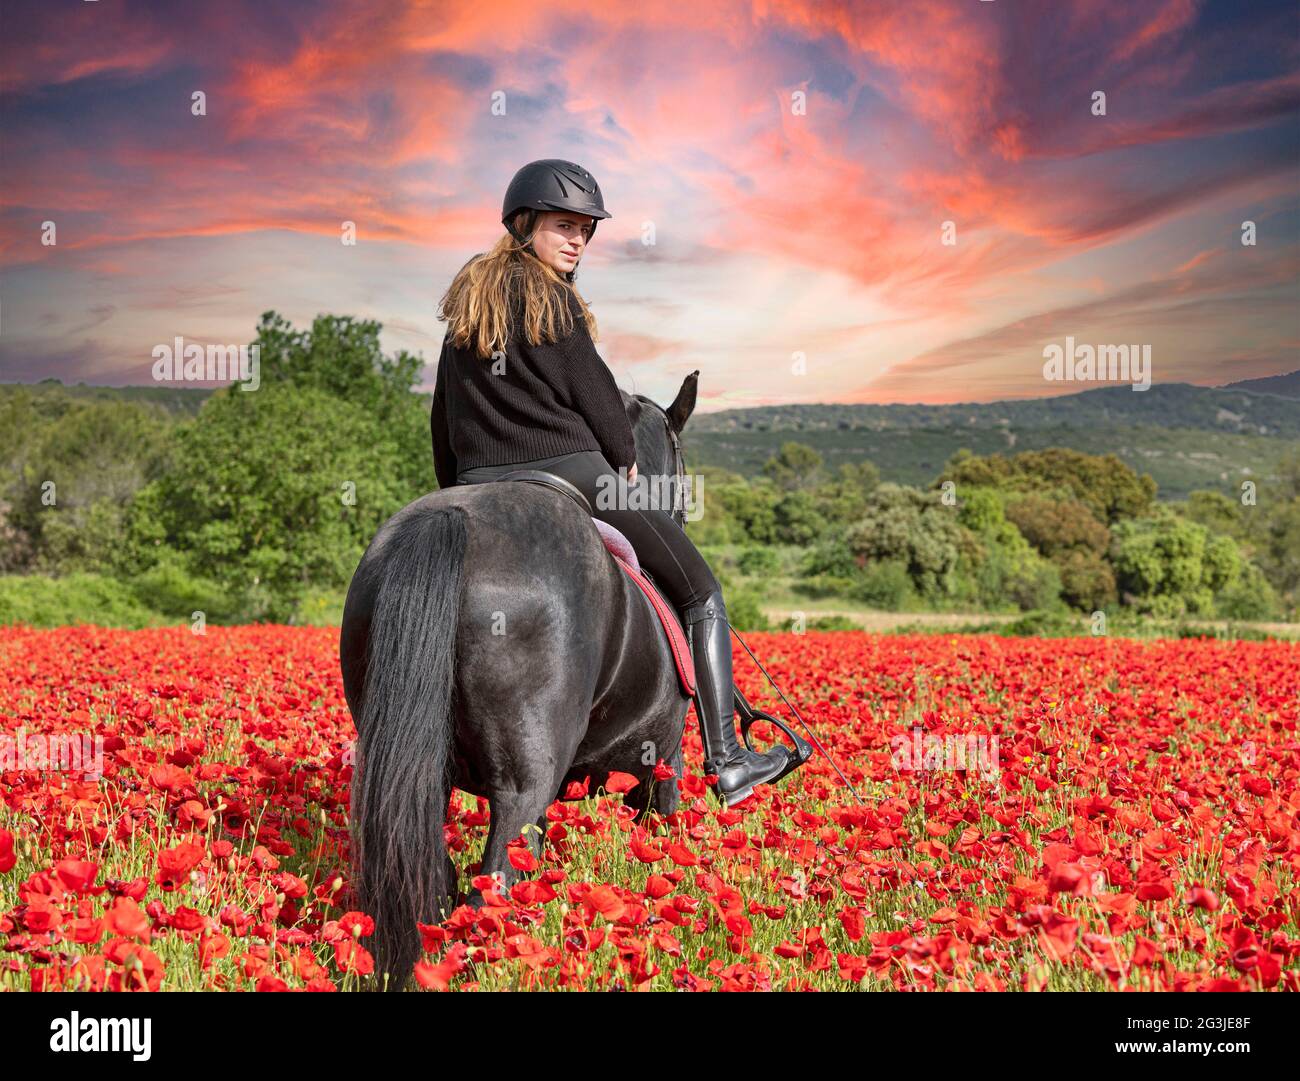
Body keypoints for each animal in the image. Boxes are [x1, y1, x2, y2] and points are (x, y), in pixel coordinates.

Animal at [339, 374, 702, 991]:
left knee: (438, 886)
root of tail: (452, 519)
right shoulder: (662, 764)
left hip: (419, 775)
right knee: (495, 891)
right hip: (523, 787)